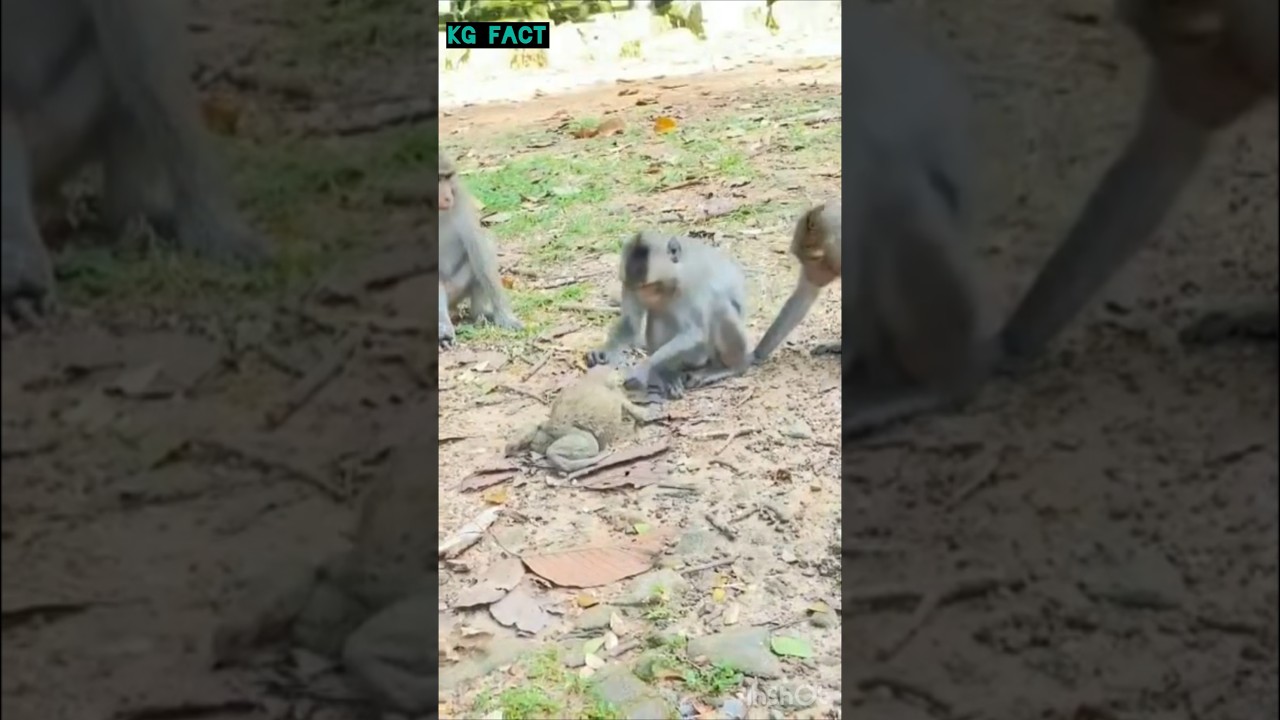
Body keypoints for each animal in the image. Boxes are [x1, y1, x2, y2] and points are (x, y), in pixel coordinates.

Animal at [437, 152, 523, 349]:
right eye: (438, 179)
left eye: (448, 177)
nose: (447, 198)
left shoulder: (460, 199)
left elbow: (478, 245)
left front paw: (505, 316)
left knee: (484, 245)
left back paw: (480, 313)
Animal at [504, 365, 653, 473]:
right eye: (616, 369)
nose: (622, 372)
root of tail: (550, 427)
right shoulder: (619, 397)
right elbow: (638, 412)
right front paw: (651, 413)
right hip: (582, 440)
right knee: (554, 452)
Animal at [585, 230, 751, 400]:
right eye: (638, 288)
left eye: (650, 286)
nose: (644, 296)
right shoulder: (628, 283)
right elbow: (630, 324)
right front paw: (605, 350)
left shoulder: (690, 282)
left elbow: (694, 333)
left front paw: (644, 367)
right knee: (657, 316)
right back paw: (668, 374)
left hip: (702, 355)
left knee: (719, 306)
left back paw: (731, 367)